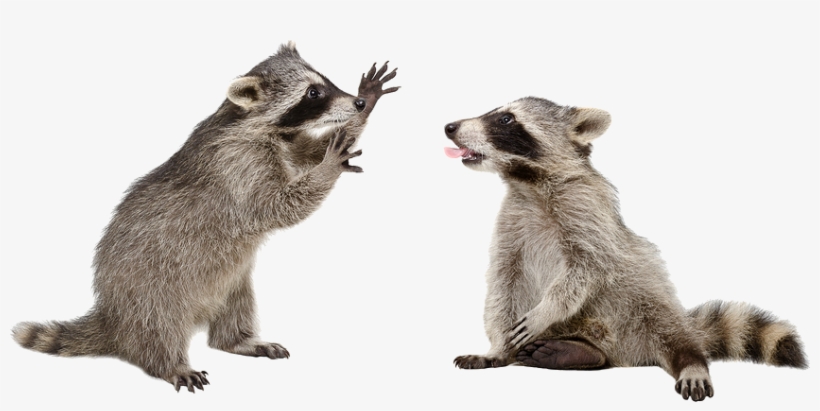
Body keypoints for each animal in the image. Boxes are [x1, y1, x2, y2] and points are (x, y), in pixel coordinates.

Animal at [12, 42, 398, 392]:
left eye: (325, 81)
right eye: (313, 93)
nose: (356, 103)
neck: (249, 122)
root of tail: (113, 315)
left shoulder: (285, 143)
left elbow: (308, 152)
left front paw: (361, 113)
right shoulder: (237, 165)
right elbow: (276, 206)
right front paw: (329, 166)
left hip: (231, 280)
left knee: (237, 307)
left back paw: (238, 339)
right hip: (151, 287)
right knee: (159, 328)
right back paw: (170, 363)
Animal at [444, 97, 806, 401]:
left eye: (505, 119)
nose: (450, 127)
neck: (528, 183)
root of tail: (625, 354)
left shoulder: (590, 216)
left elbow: (586, 269)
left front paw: (546, 309)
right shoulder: (511, 227)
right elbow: (502, 284)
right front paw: (497, 346)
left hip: (646, 306)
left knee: (671, 331)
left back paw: (691, 360)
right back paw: (575, 351)